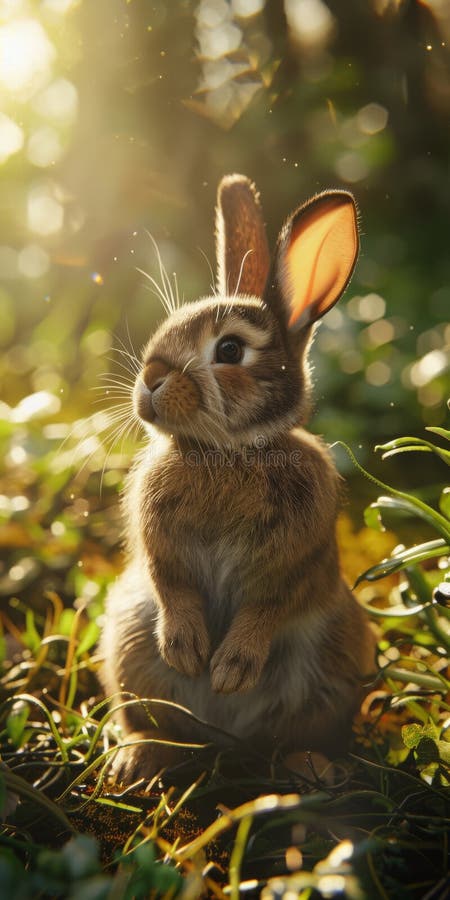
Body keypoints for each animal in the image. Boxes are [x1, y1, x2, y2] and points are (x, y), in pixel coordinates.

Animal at [99, 174, 376, 782]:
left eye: (229, 349)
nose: (151, 378)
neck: (227, 454)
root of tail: (224, 736)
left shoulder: (297, 558)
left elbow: (269, 604)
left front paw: (230, 669)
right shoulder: (159, 547)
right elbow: (171, 582)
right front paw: (187, 649)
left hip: (332, 669)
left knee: (295, 735)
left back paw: (311, 767)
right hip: (129, 648)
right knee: (151, 721)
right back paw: (137, 759)